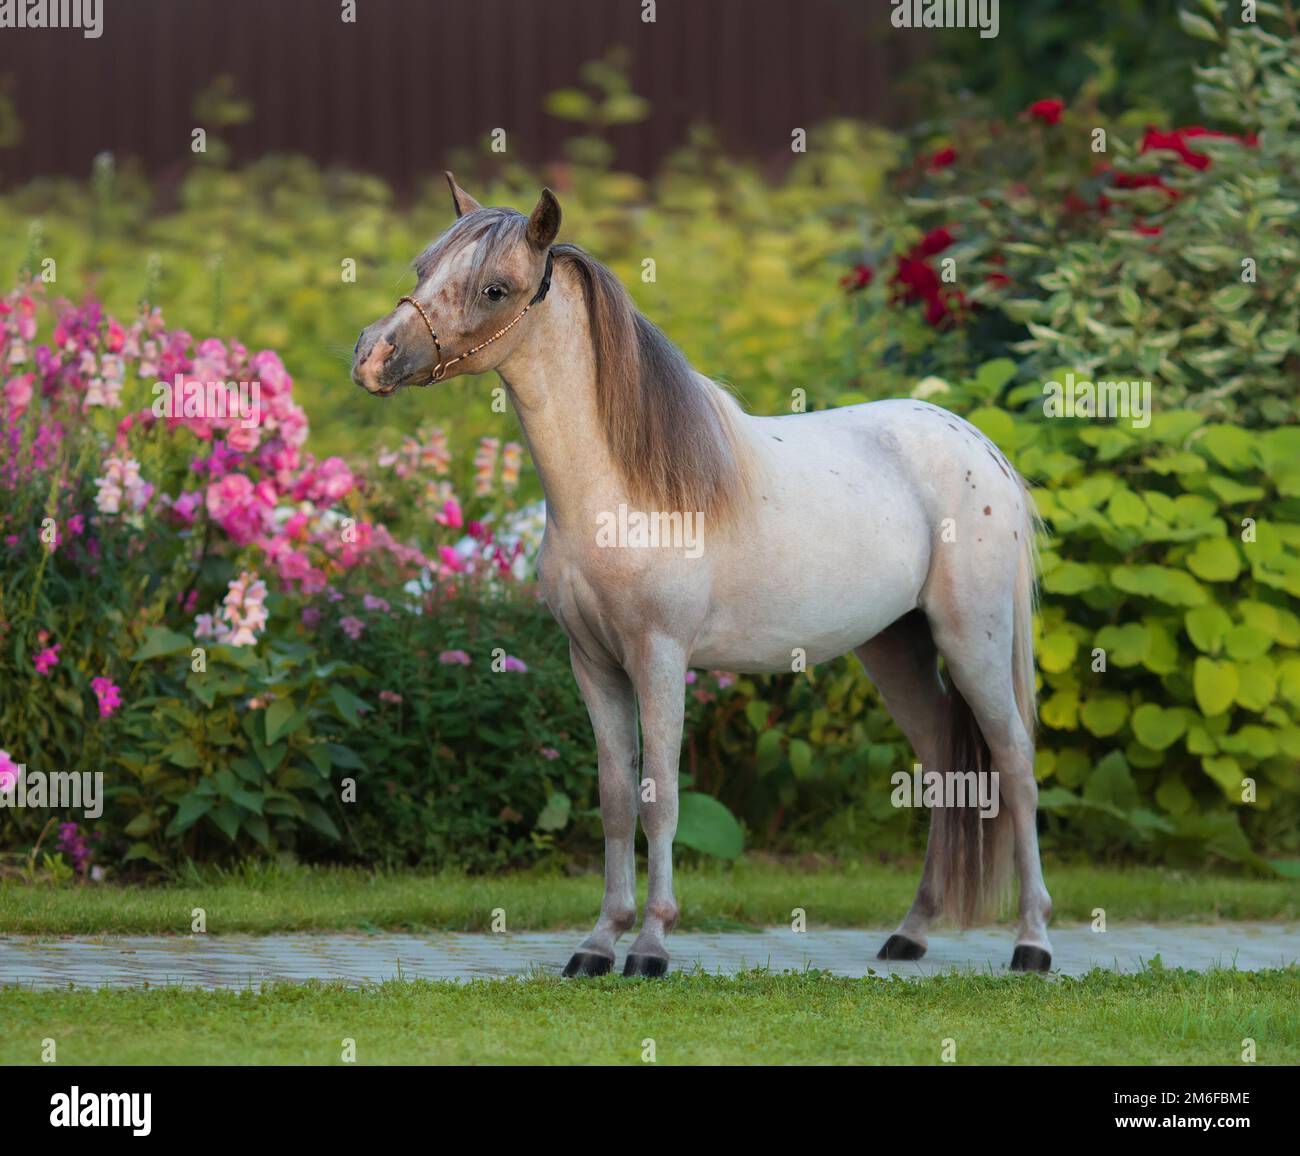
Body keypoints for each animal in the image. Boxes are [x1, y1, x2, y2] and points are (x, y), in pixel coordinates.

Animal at [352, 174, 1054, 977]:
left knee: (1015, 766)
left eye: (496, 288)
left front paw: (651, 946)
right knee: (942, 762)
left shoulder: (660, 657)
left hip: (973, 642)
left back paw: (1032, 944)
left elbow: (660, 797)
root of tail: (979, 445)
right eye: (423, 269)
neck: (621, 489)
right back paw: (911, 933)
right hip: (895, 647)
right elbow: (616, 797)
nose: (372, 356)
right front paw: (599, 943)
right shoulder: (591, 661)